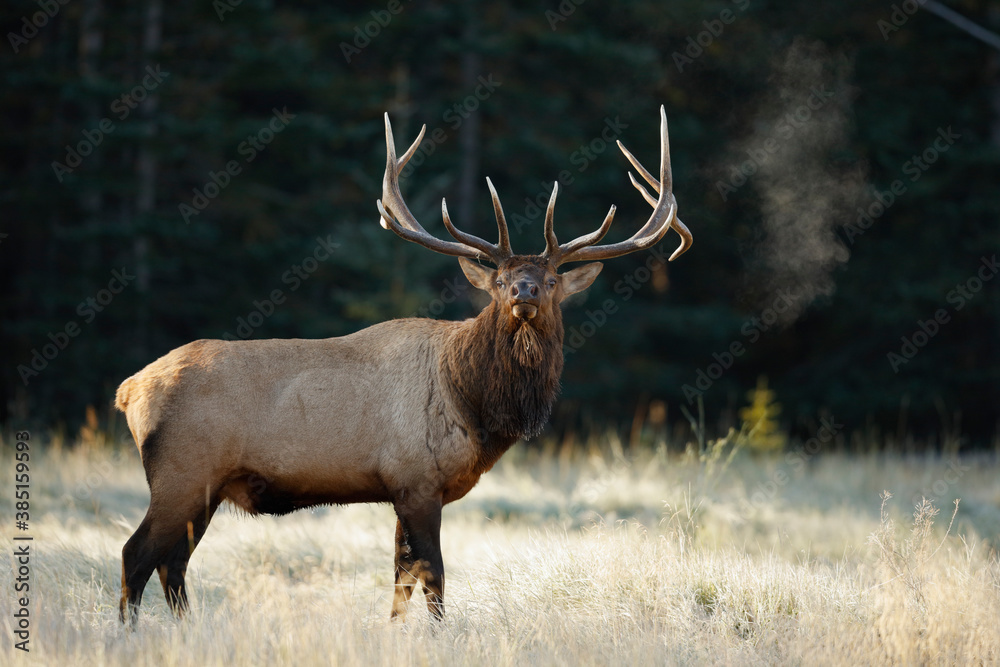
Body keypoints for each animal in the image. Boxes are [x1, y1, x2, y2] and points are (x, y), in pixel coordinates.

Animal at [113, 106, 692, 626]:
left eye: (550, 281)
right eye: (501, 280)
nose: (524, 292)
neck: (474, 405)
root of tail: (129, 389)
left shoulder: (403, 489)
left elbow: (402, 577)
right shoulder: (416, 478)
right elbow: (432, 575)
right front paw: (438, 637)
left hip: (203, 489)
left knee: (172, 563)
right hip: (182, 472)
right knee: (136, 554)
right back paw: (128, 632)